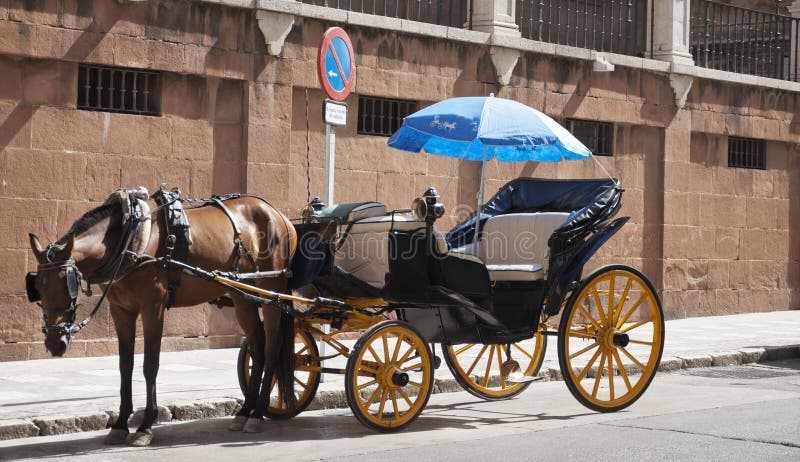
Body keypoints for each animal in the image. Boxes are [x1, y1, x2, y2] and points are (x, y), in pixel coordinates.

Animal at [25, 187, 298, 446]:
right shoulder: (121, 309)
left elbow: (150, 365)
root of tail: (279, 215)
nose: (55, 343)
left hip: (272, 291)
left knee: (272, 347)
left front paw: (145, 426)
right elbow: (126, 366)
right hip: (243, 296)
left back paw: (257, 413)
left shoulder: (152, 306)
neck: (128, 240)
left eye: (68, 285)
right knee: (257, 345)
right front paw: (120, 424)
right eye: (37, 288)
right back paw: (244, 411)